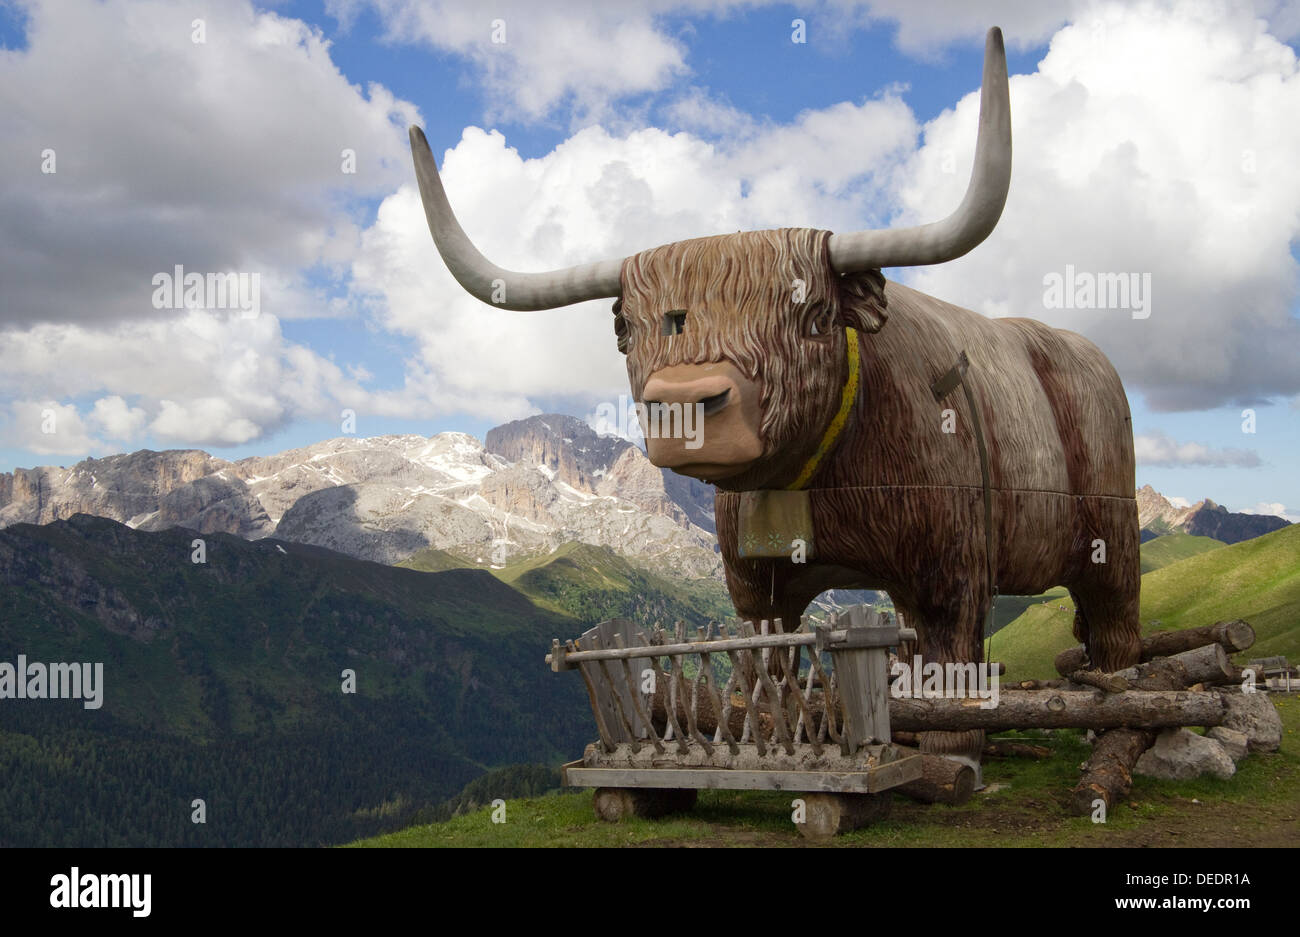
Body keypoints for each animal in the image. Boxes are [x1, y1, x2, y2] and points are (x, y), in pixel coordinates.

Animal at [407, 28, 1142, 772]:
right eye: (628, 330)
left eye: (813, 314)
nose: (683, 404)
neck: (816, 470)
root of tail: (1085, 353)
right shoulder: (753, 583)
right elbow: (768, 660)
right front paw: (767, 733)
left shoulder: (954, 567)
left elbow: (950, 660)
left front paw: (951, 751)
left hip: (1111, 539)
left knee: (1115, 636)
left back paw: (1113, 720)